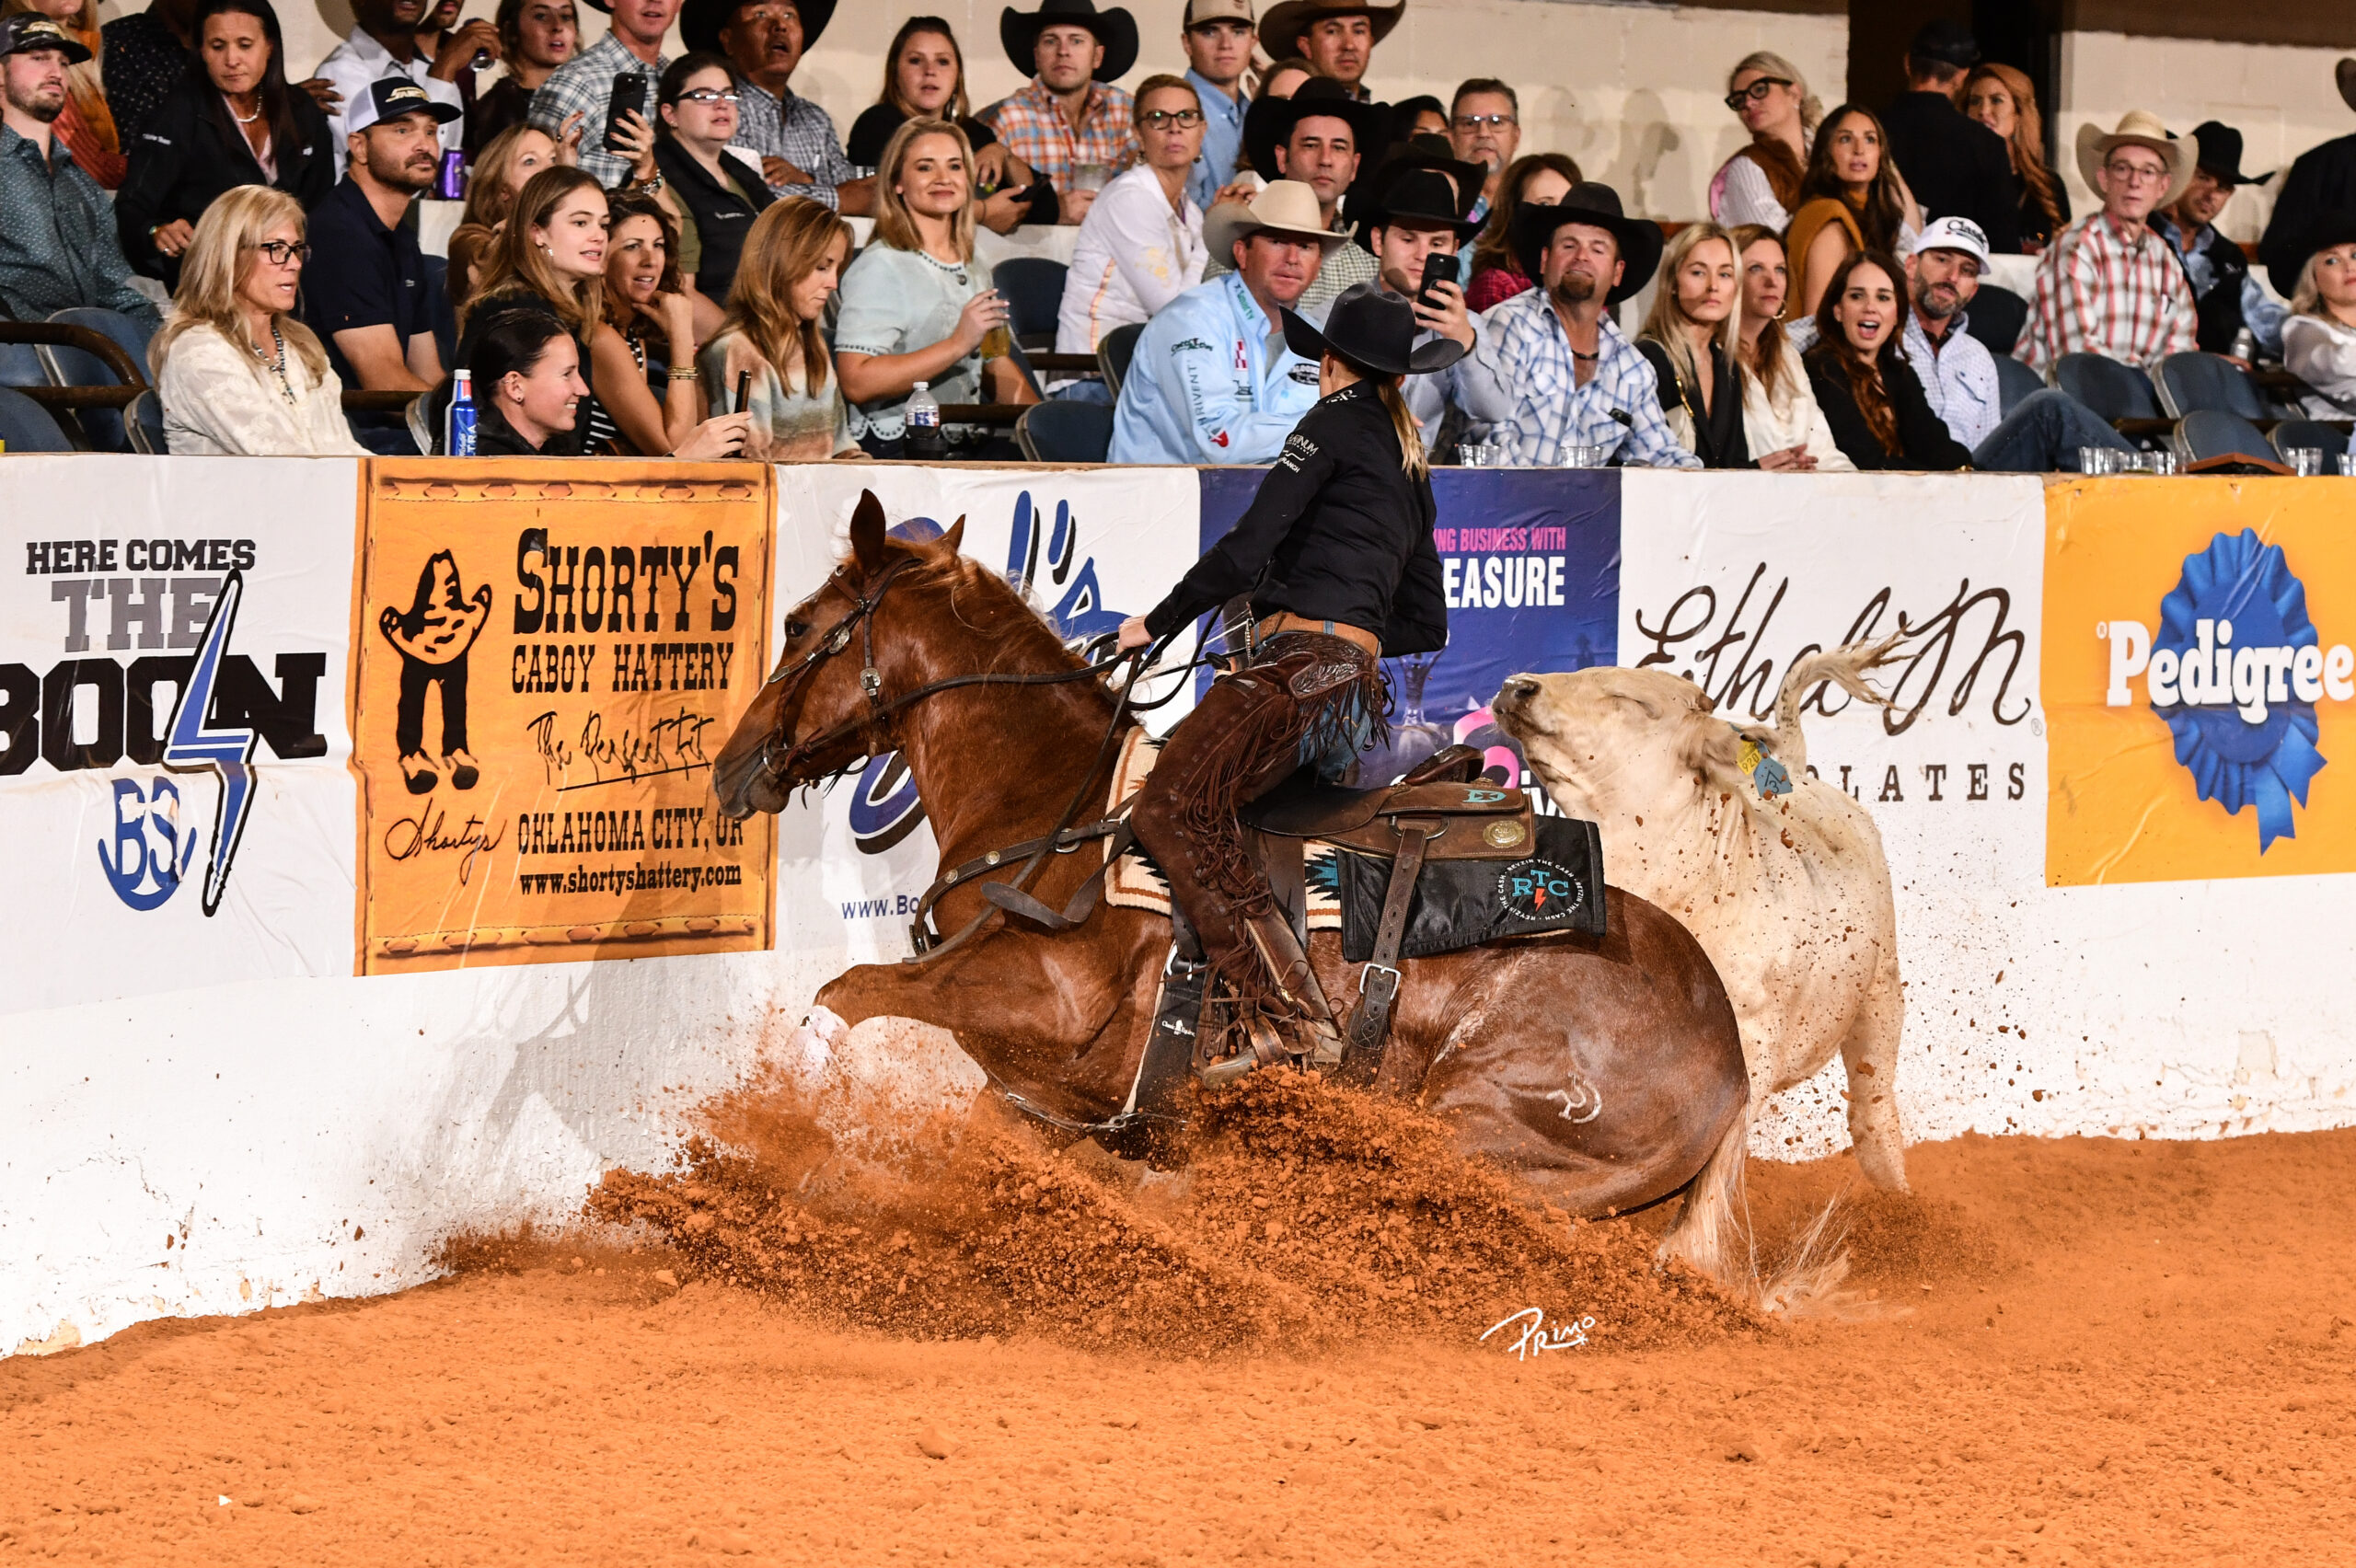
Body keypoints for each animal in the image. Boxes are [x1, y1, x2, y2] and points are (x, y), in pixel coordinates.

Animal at [713, 492, 1754, 1286]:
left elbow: (843, 994)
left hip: (1472, 1128)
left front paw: (772, 1145)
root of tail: (1733, 1063)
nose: (729, 767)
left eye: (799, 626)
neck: (1050, 805)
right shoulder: (1037, 1094)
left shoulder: (1044, 1005)